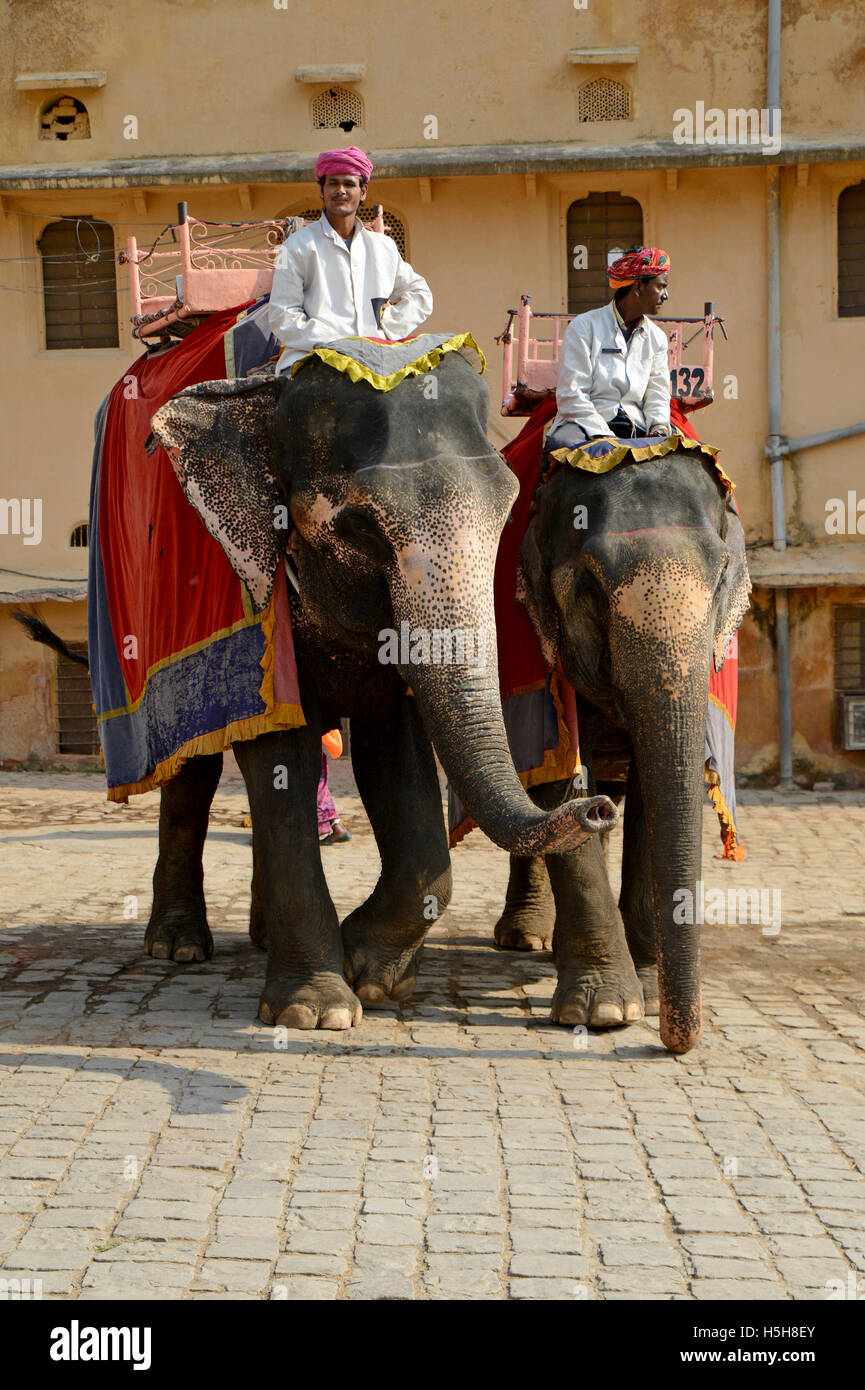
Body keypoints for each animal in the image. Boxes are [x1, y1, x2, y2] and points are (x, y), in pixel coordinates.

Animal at [132, 348, 618, 1031]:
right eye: (360, 527)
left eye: (507, 511)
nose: (597, 806)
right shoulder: (258, 597)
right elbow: (281, 750)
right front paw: (316, 1011)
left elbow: (393, 757)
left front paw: (372, 973)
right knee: (192, 768)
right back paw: (177, 946)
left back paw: (260, 938)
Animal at [494, 441, 750, 1054]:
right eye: (589, 588)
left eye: (721, 580)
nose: (677, 1043)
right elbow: (561, 782)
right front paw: (606, 1011)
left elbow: (665, 783)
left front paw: (651, 990)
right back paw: (526, 940)